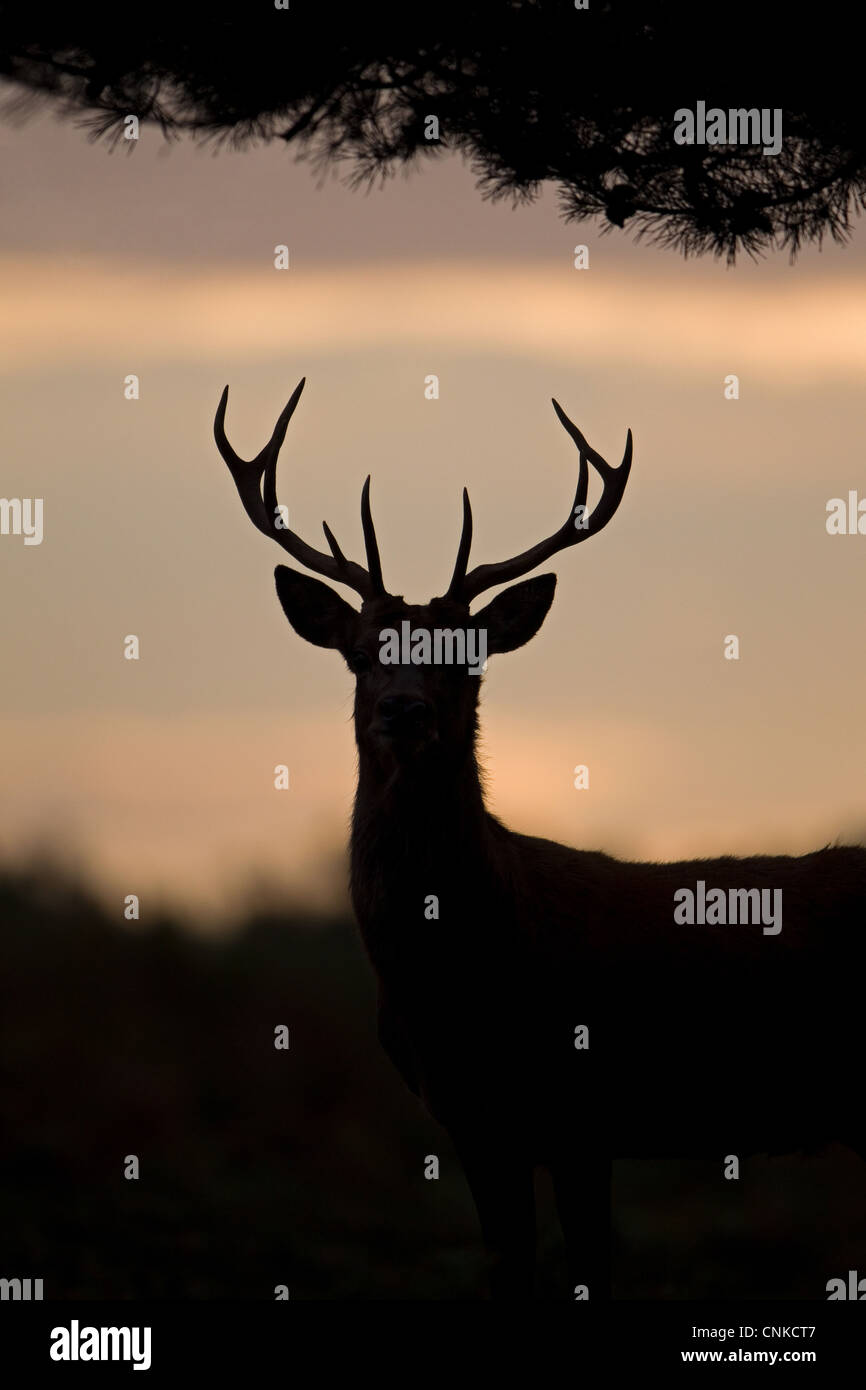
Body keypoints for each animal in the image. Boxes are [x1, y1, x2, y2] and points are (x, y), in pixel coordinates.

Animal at [215, 379, 866, 1301]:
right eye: (361, 653)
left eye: (467, 656)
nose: (404, 710)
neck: (468, 974)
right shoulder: (474, 1123)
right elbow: (510, 1266)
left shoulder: (581, 1110)